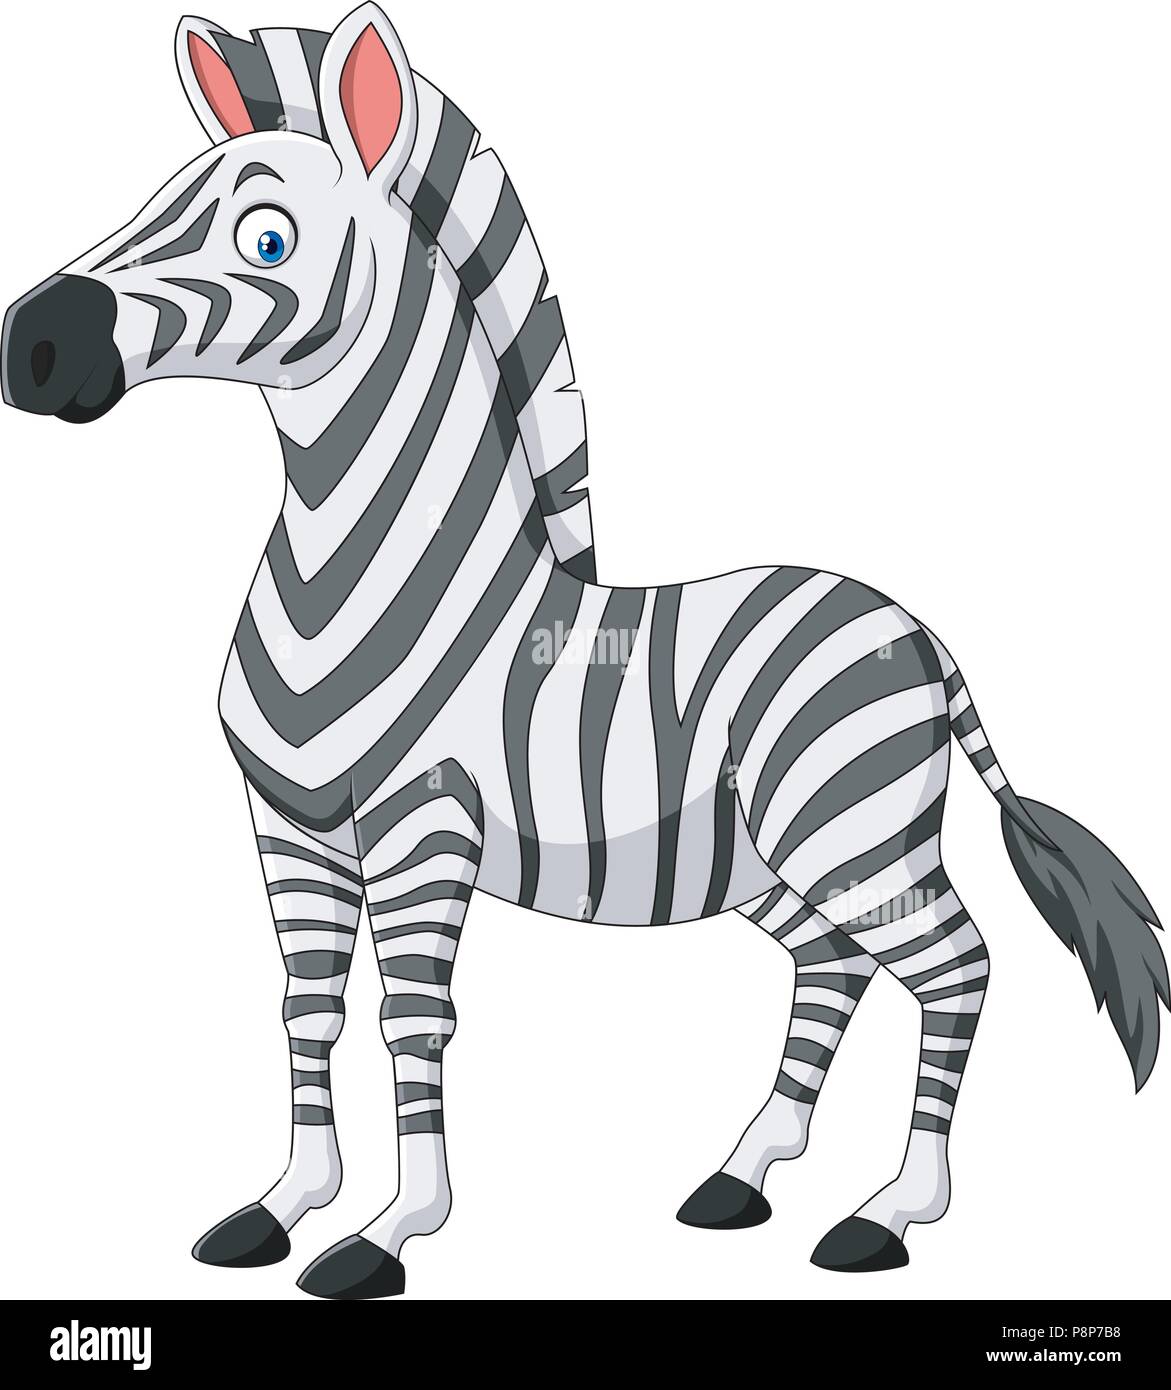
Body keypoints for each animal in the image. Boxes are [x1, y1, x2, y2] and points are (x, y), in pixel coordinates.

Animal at [2, 3, 1166, 1300]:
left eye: (268, 237)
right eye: (155, 198)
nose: (31, 344)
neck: (348, 581)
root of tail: (922, 634)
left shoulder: (420, 823)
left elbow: (415, 1015)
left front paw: (387, 1233)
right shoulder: (287, 825)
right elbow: (306, 1005)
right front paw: (279, 1205)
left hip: (853, 834)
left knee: (955, 965)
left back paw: (889, 1213)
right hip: (771, 860)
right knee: (833, 963)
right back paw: (743, 1175)